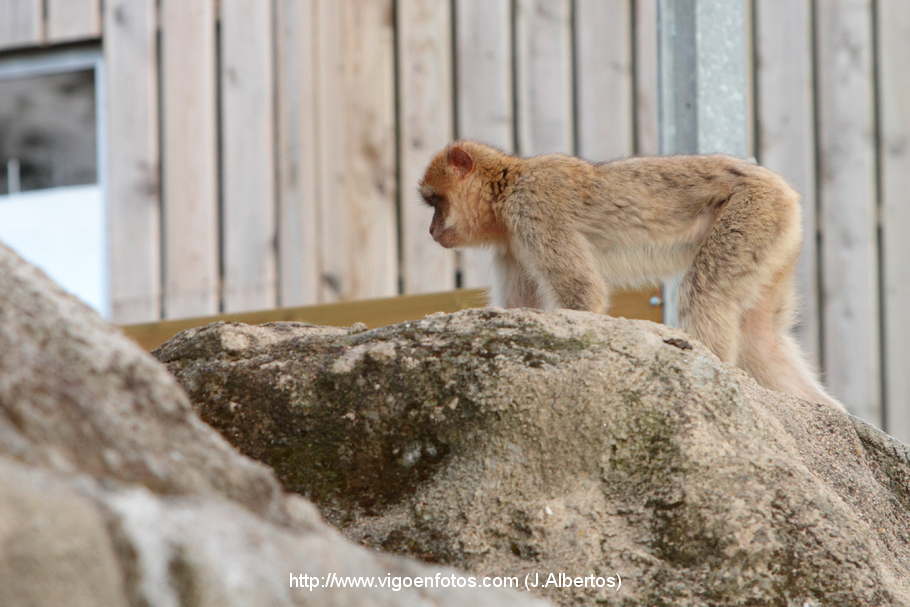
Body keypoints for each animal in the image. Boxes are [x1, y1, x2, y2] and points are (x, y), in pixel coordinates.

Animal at [418, 140, 845, 411]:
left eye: (436, 202)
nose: (431, 229)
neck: (505, 188)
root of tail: (784, 191)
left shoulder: (534, 207)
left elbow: (583, 293)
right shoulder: (511, 249)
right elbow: (521, 306)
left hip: (754, 212)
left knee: (707, 294)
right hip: (776, 242)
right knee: (761, 339)